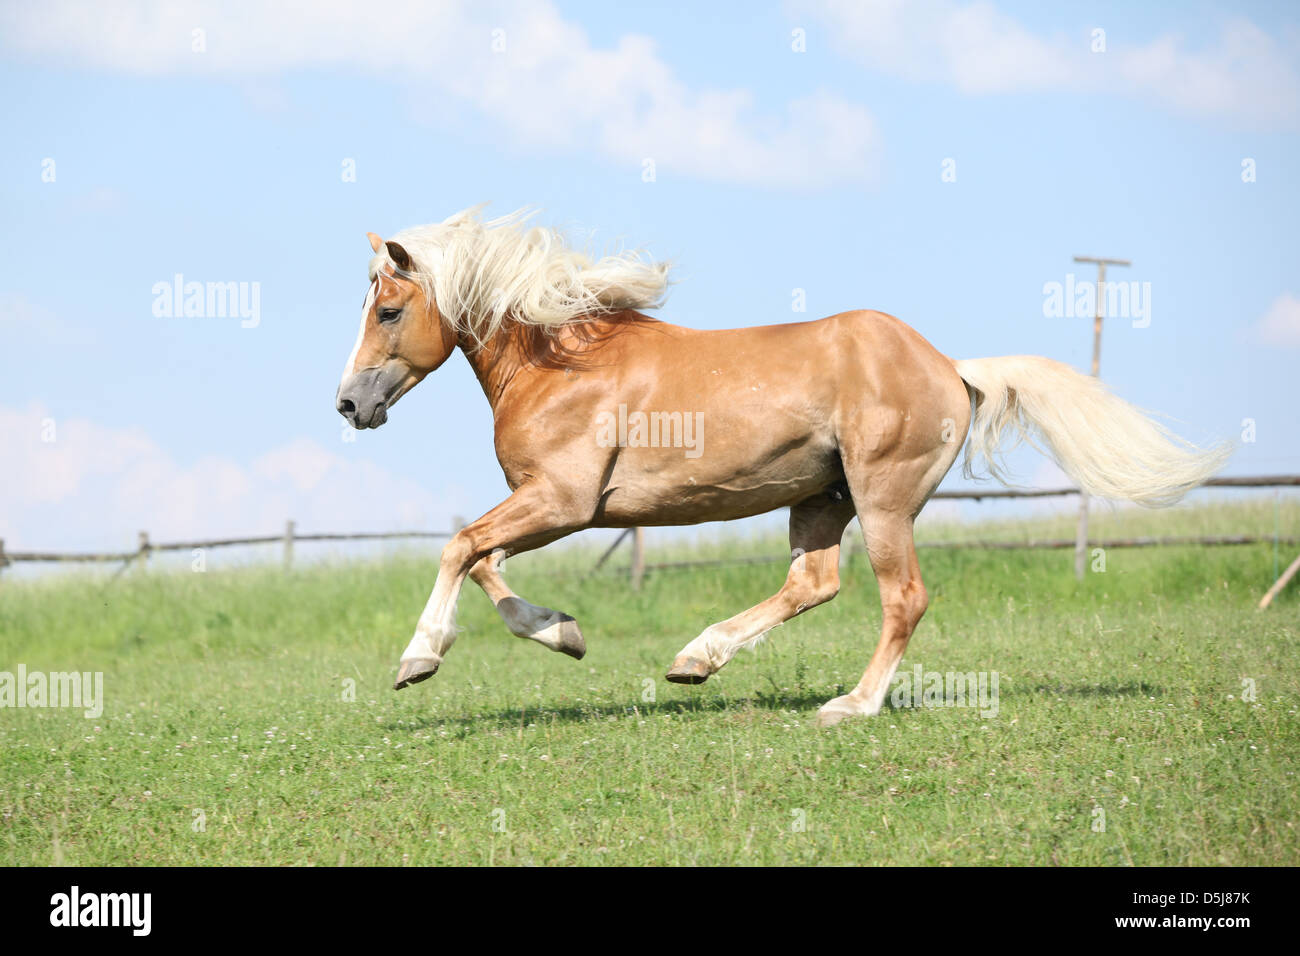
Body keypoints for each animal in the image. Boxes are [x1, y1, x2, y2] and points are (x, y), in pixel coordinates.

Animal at [335, 206, 1230, 726]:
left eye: (390, 311)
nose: (348, 404)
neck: (561, 361)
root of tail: (950, 365)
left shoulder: (564, 502)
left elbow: (460, 547)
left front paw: (418, 660)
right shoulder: (549, 506)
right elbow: (484, 559)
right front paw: (566, 634)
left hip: (882, 498)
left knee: (902, 597)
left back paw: (851, 706)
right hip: (822, 497)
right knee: (813, 583)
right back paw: (695, 659)